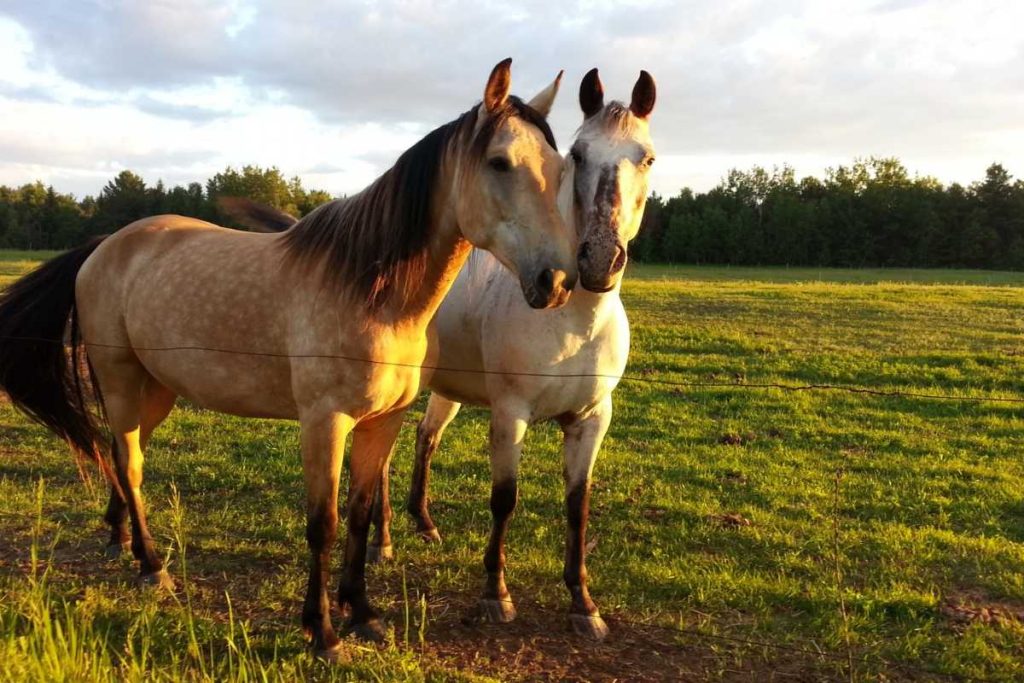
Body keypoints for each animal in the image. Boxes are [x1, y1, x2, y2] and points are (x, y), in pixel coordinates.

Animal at [0, 59, 577, 662]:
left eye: (559, 166)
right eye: (499, 162)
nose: (556, 281)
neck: (375, 293)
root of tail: (104, 246)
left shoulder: (383, 422)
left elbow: (360, 515)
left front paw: (363, 614)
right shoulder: (324, 421)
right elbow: (323, 524)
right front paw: (322, 631)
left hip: (154, 390)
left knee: (119, 455)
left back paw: (123, 542)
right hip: (119, 380)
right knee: (131, 464)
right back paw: (153, 566)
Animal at [227, 69, 657, 641]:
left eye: (646, 157)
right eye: (579, 155)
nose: (598, 261)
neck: (574, 325)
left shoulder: (591, 419)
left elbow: (577, 507)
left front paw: (583, 604)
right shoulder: (510, 413)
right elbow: (504, 500)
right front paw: (495, 595)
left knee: (423, 442)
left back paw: (423, 524)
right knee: (387, 464)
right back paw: (385, 542)